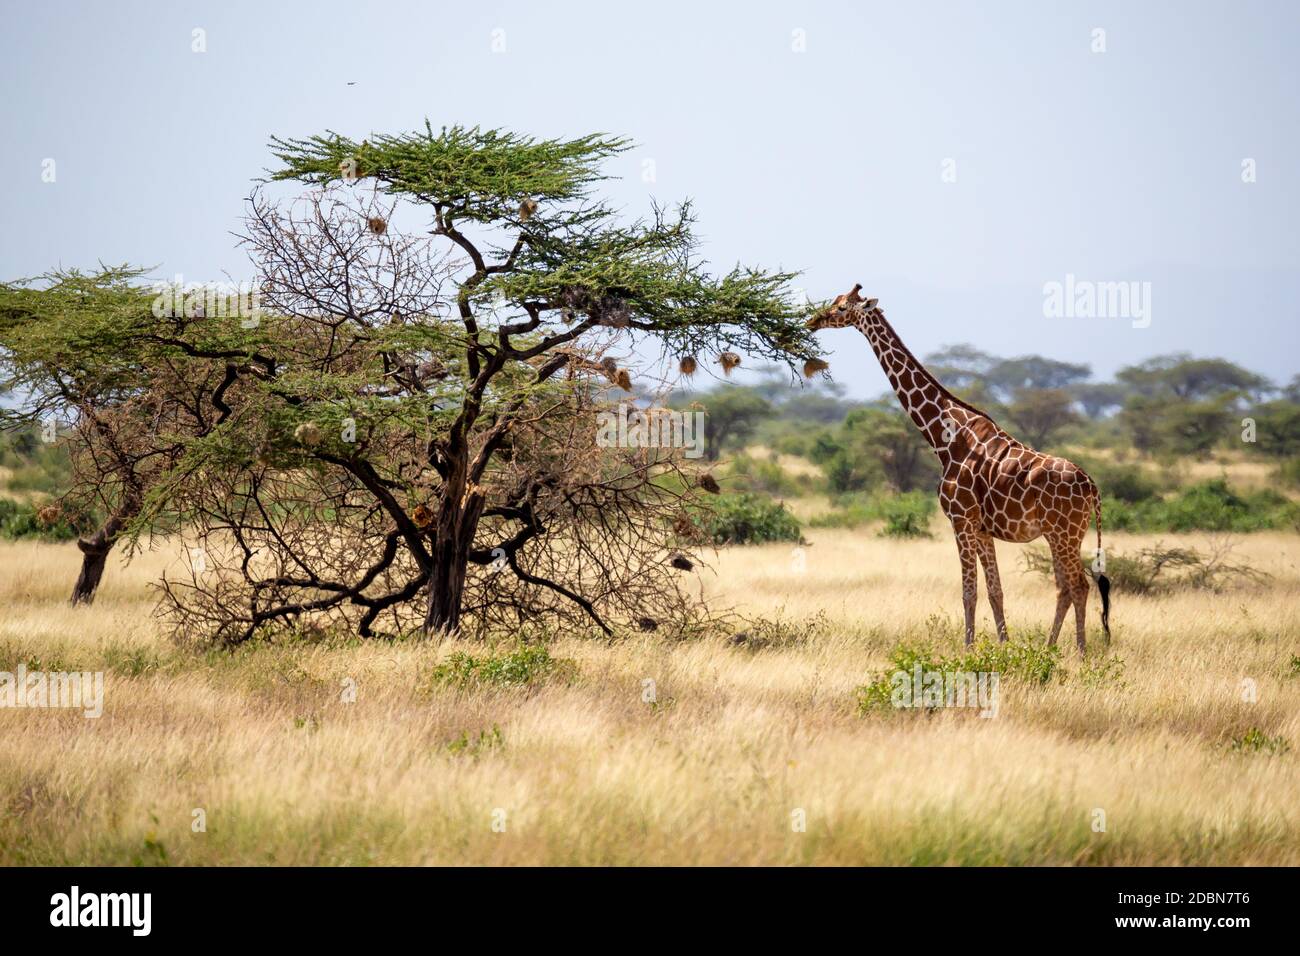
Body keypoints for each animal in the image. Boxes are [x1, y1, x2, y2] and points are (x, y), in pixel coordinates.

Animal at [806, 284, 1110, 653]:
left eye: (840, 308)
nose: (812, 321)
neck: (945, 437)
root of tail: (1092, 486)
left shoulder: (961, 520)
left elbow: (969, 592)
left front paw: (968, 650)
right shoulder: (982, 529)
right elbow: (995, 591)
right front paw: (1004, 647)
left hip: (1063, 533)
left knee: (1078, 585)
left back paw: (1078, 653)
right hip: (1062, 534)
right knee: (1065, 586)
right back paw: (1049, 648)